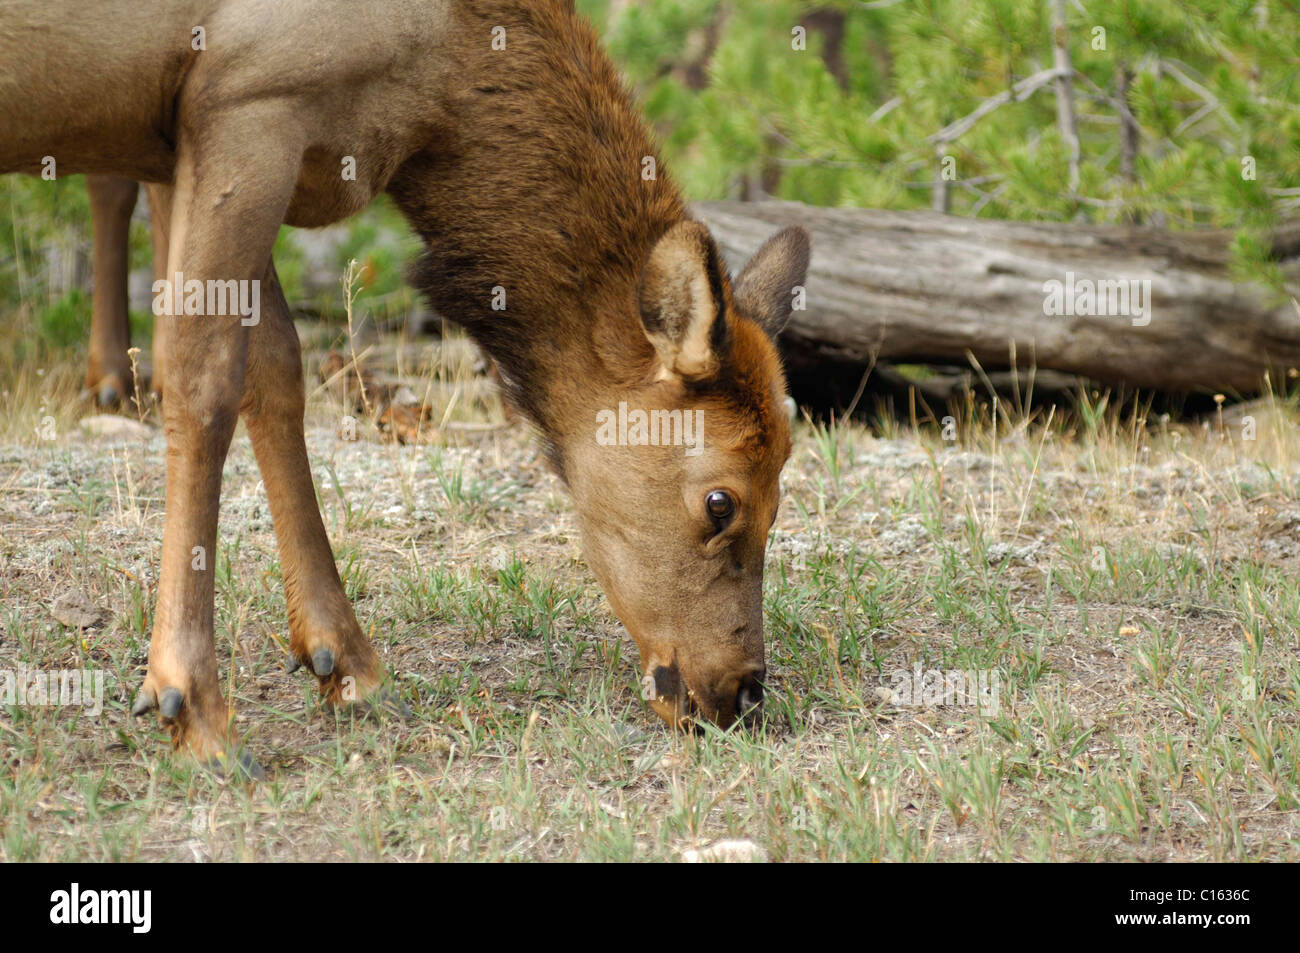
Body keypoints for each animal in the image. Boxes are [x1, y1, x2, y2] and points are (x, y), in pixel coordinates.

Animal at [1, 0, 810, 778]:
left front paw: (342, 660)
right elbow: (204, 383)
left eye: (783, 492)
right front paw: (193, 707)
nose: (742, 691)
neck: (435, 71)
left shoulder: (184, 141)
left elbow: (277, 368)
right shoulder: (248, 101)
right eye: (720, 501)